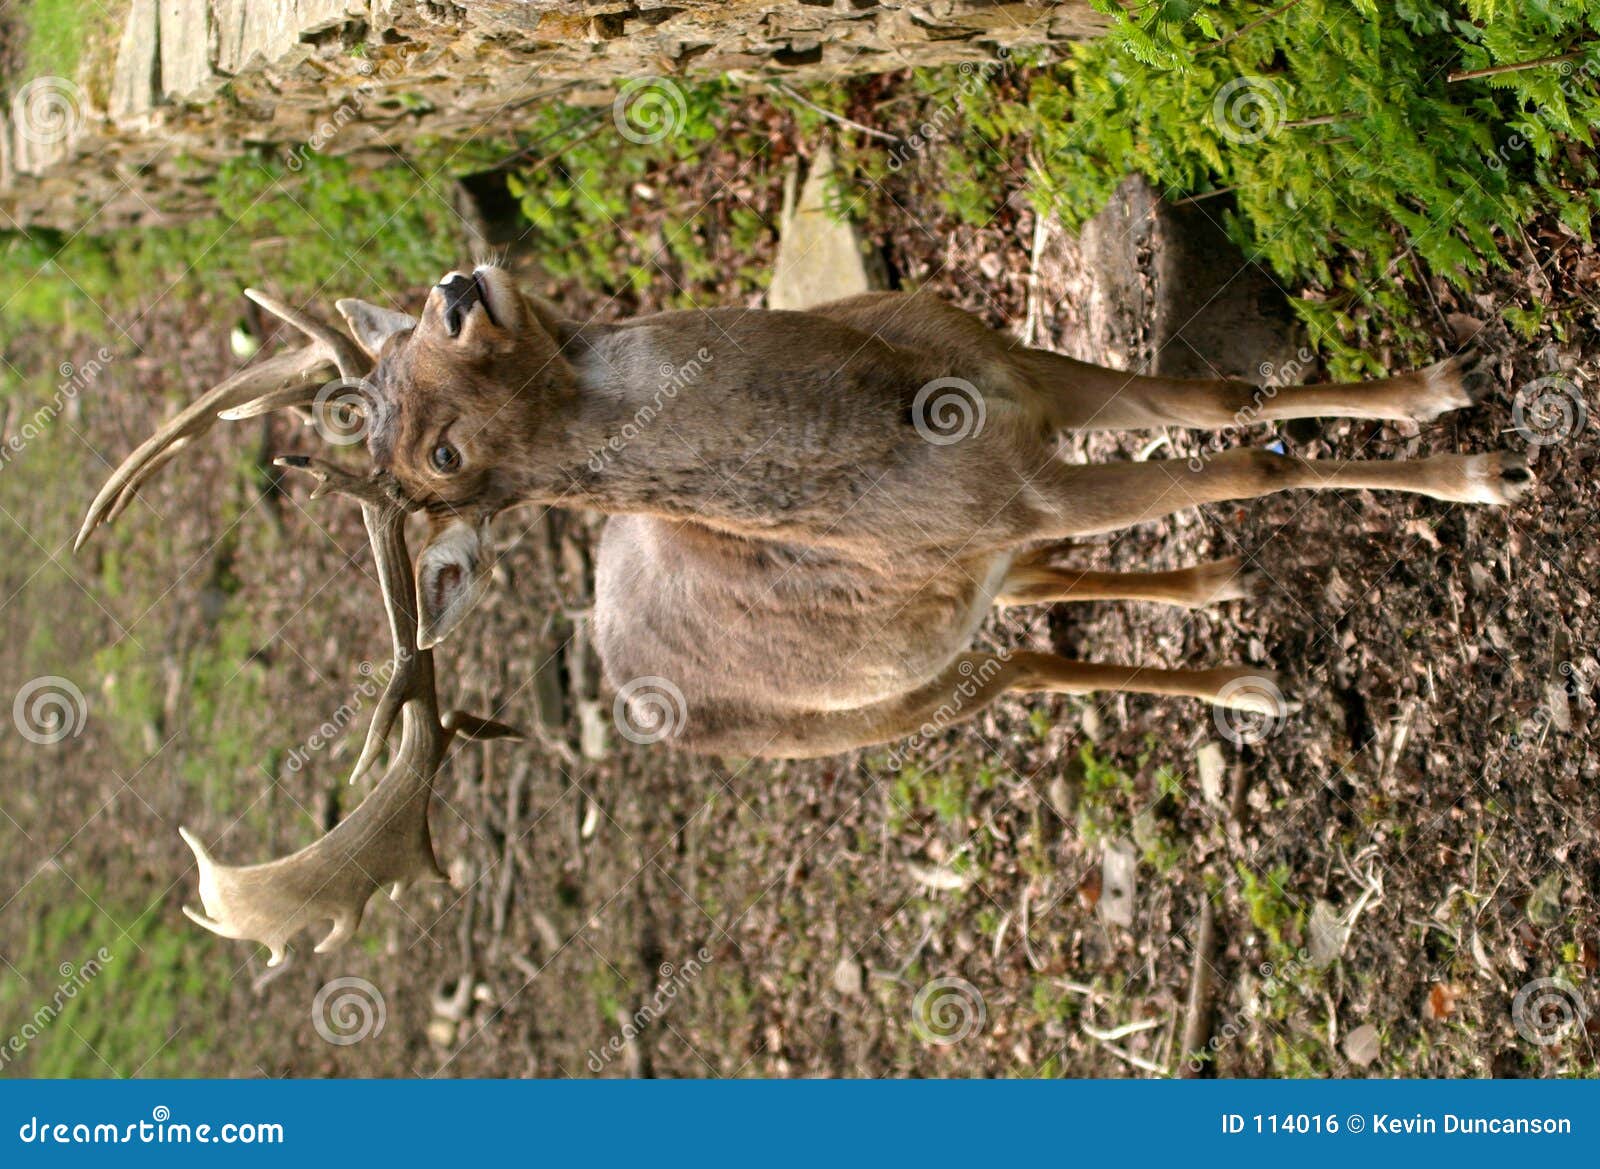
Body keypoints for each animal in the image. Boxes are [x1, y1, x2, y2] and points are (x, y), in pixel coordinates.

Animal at [78, 266, 1530, 961]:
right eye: (439, 458)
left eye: (405, 355)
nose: (454, 289)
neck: (892, 409)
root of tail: (616, 668)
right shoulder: (1026, 479)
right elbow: (1252, 466)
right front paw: (1482, 472)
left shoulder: (1017, 377)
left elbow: (1225, 404)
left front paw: (1440, 385)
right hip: (882, 702)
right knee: (1019, 665)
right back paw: (1245, 678)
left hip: (949, 583)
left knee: (1027, 599)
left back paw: (1219, 604)